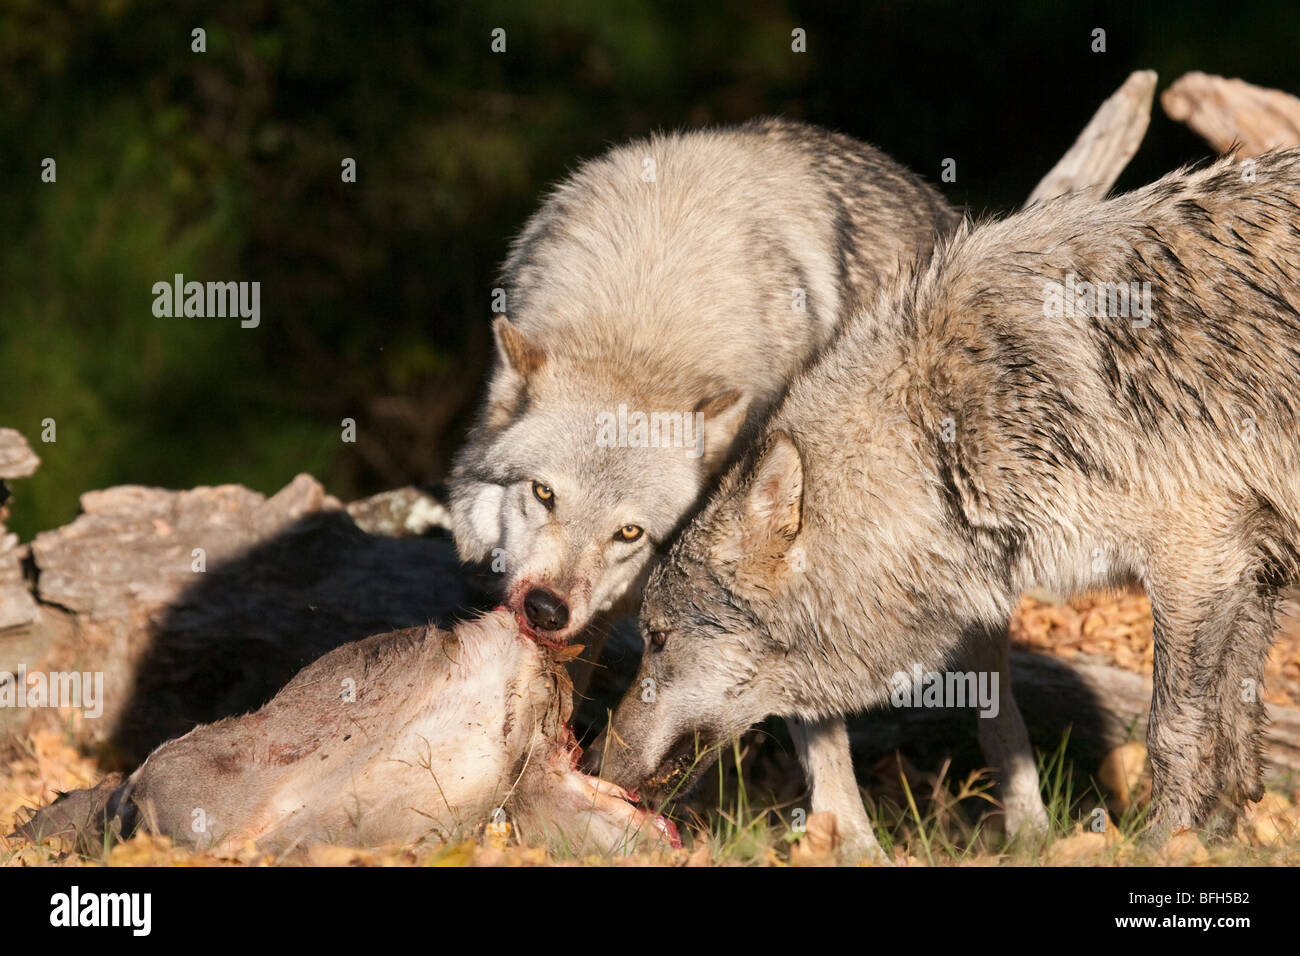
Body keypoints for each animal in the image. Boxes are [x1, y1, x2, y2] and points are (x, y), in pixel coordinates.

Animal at [447, 119, 985, 857]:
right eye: (544, 494)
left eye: (629, 532)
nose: (547, 610)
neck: (640, 328)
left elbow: (812, 720)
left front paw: (849, 839)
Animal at [600, 150, 1300, 840]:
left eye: (657, 638)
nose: (602, 767)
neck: (940, 432)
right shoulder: (1249, 571)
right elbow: (1237, 736)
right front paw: (1220, 840)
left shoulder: (1195, 563)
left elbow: (1176, 737)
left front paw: (1163, 848)